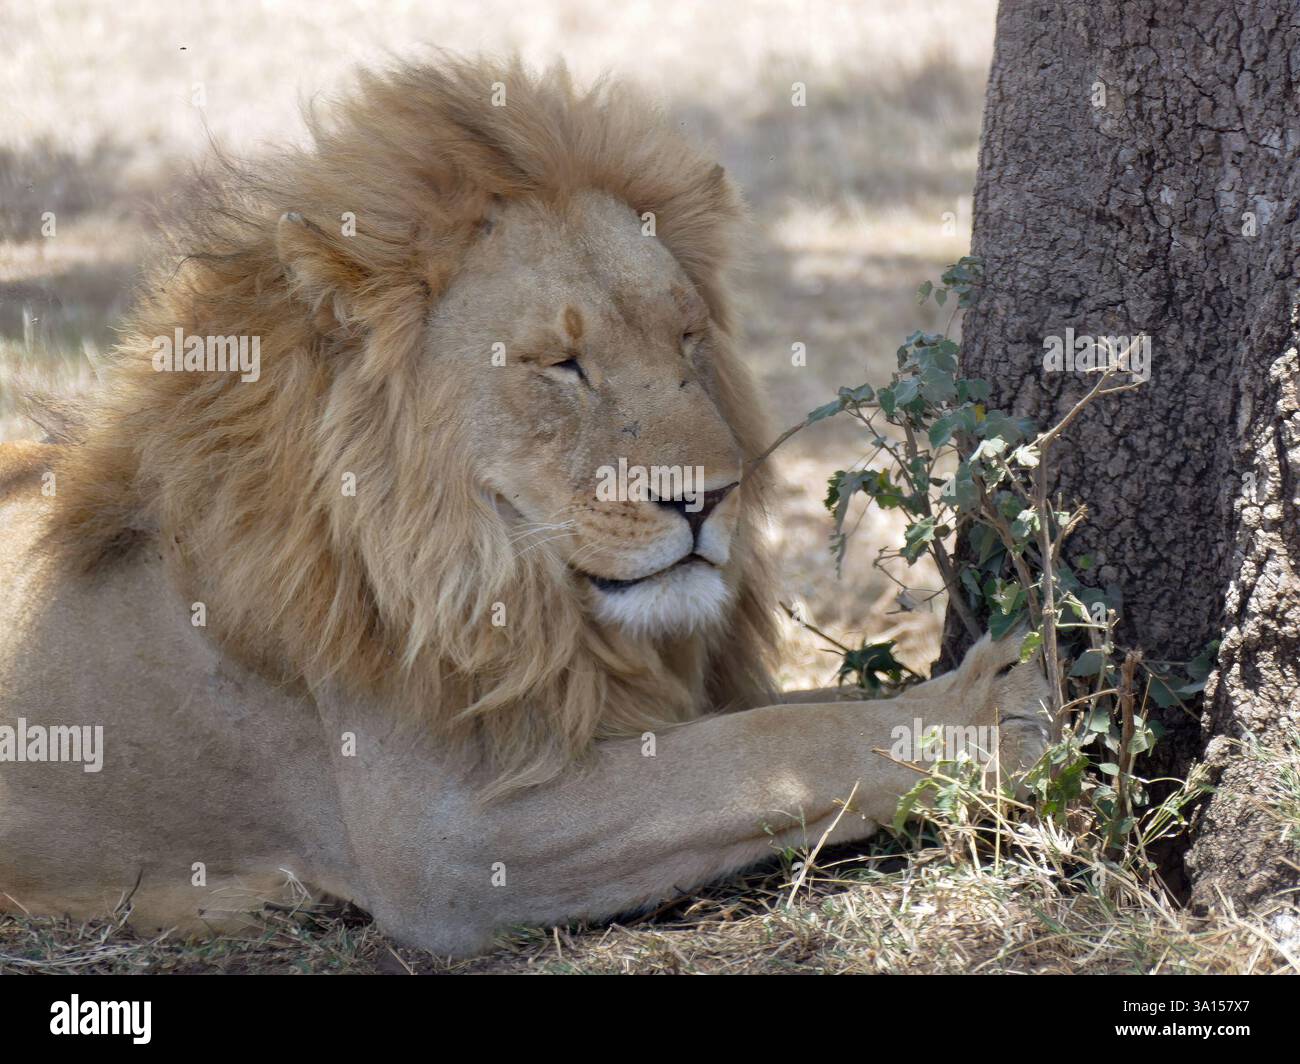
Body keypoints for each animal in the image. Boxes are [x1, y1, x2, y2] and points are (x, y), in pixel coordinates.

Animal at [0, 57, 1051, 956]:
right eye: (561, 363)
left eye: (687, 337)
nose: (711, 498)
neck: (488, 575)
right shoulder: (444, 844)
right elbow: (757, 749)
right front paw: (991, 713)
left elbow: (792, 712)